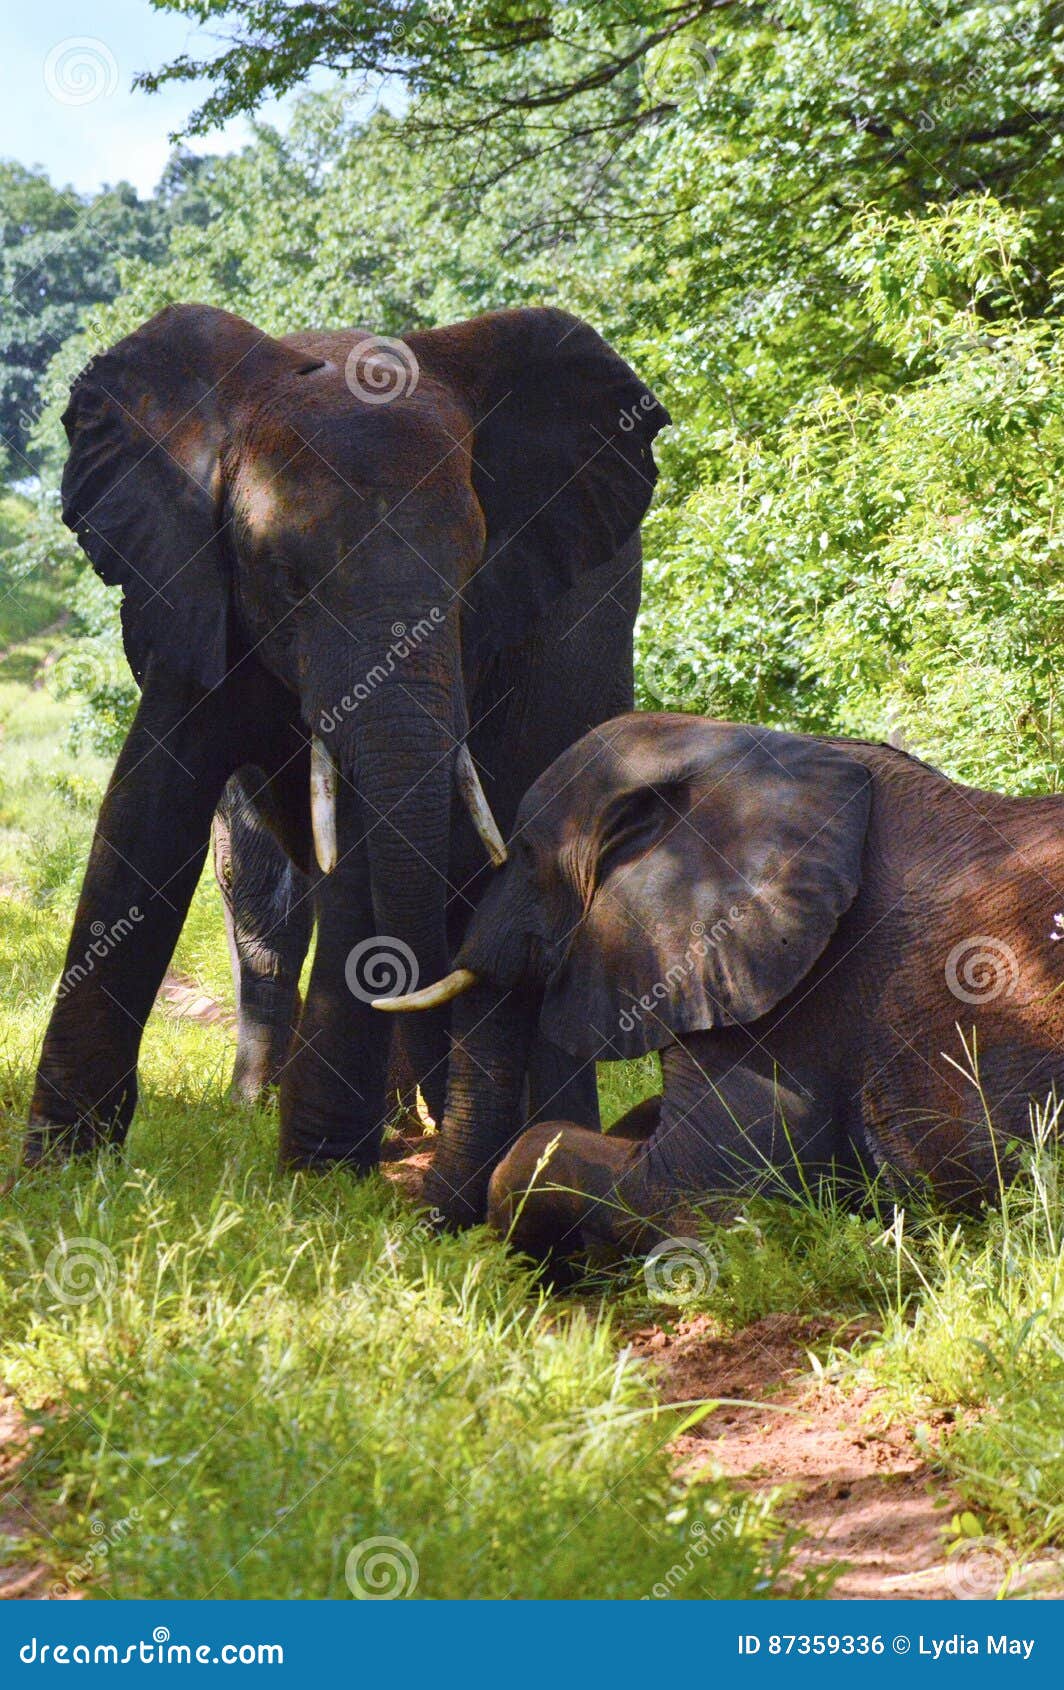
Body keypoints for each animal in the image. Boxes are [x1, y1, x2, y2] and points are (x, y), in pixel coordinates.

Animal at [27, 303, 668, 1172]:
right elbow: (147, 808)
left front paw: (322, 1174)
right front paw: (60, 1168)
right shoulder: (197, 595)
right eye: (282, 574)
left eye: (470, 573)